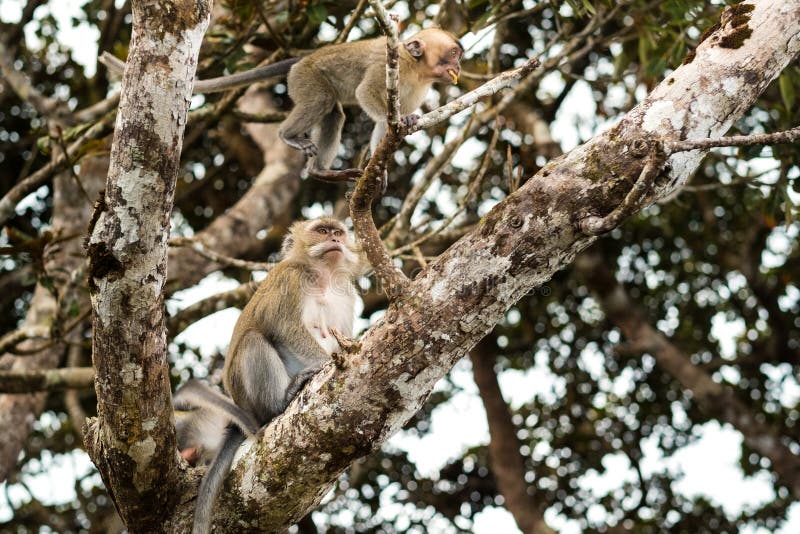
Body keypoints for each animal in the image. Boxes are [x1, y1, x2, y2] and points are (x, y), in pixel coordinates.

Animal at [192, 217, 361, 534]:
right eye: (322, 231)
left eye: (338, 232)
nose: (335, 240)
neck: (321, 277)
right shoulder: (290, 280)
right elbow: (284, 328)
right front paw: (325, 365)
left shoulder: (346, 293)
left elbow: (342, 336)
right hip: (251, 400)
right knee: (253, 342)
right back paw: (280, 403)